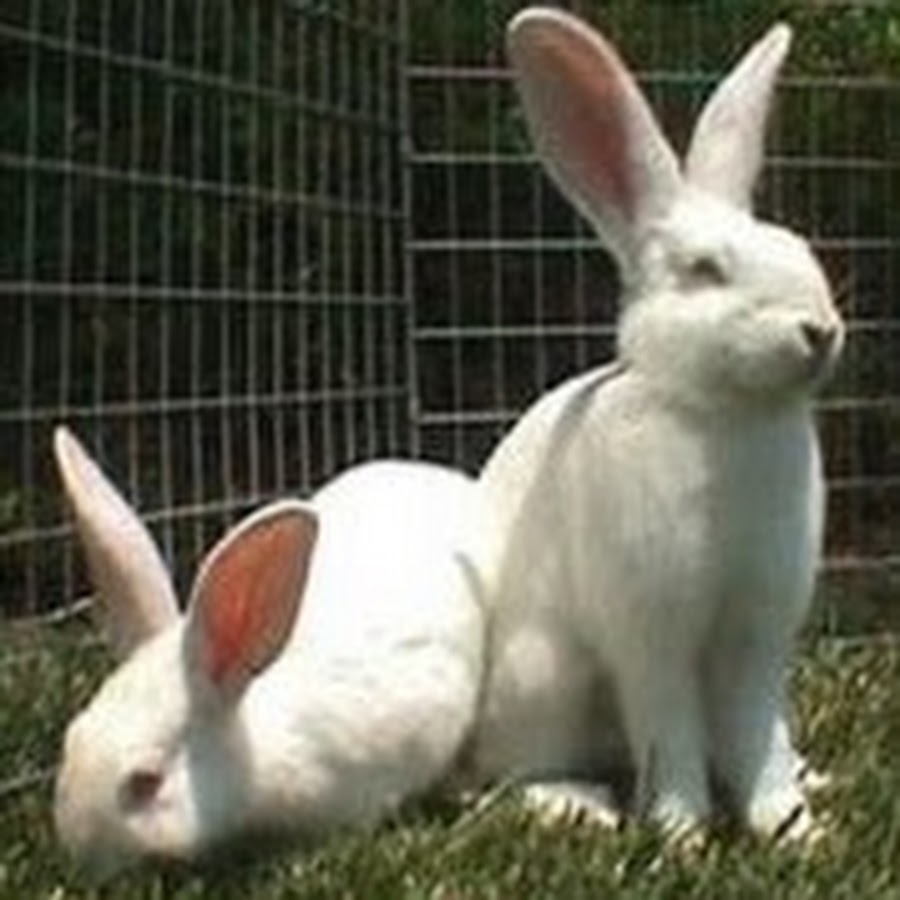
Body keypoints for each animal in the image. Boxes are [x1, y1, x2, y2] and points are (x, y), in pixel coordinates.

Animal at [468, 8, 843, 842]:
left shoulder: (759, 630)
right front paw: (683, 834)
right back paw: (581, 806)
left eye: (800, 248)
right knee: (507, 777)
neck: (724, 412)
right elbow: (671, 726)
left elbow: (757, 731)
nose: (821, 329)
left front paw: (791, 827)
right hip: (545, 677)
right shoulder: (654, 632)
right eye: (705, 271)